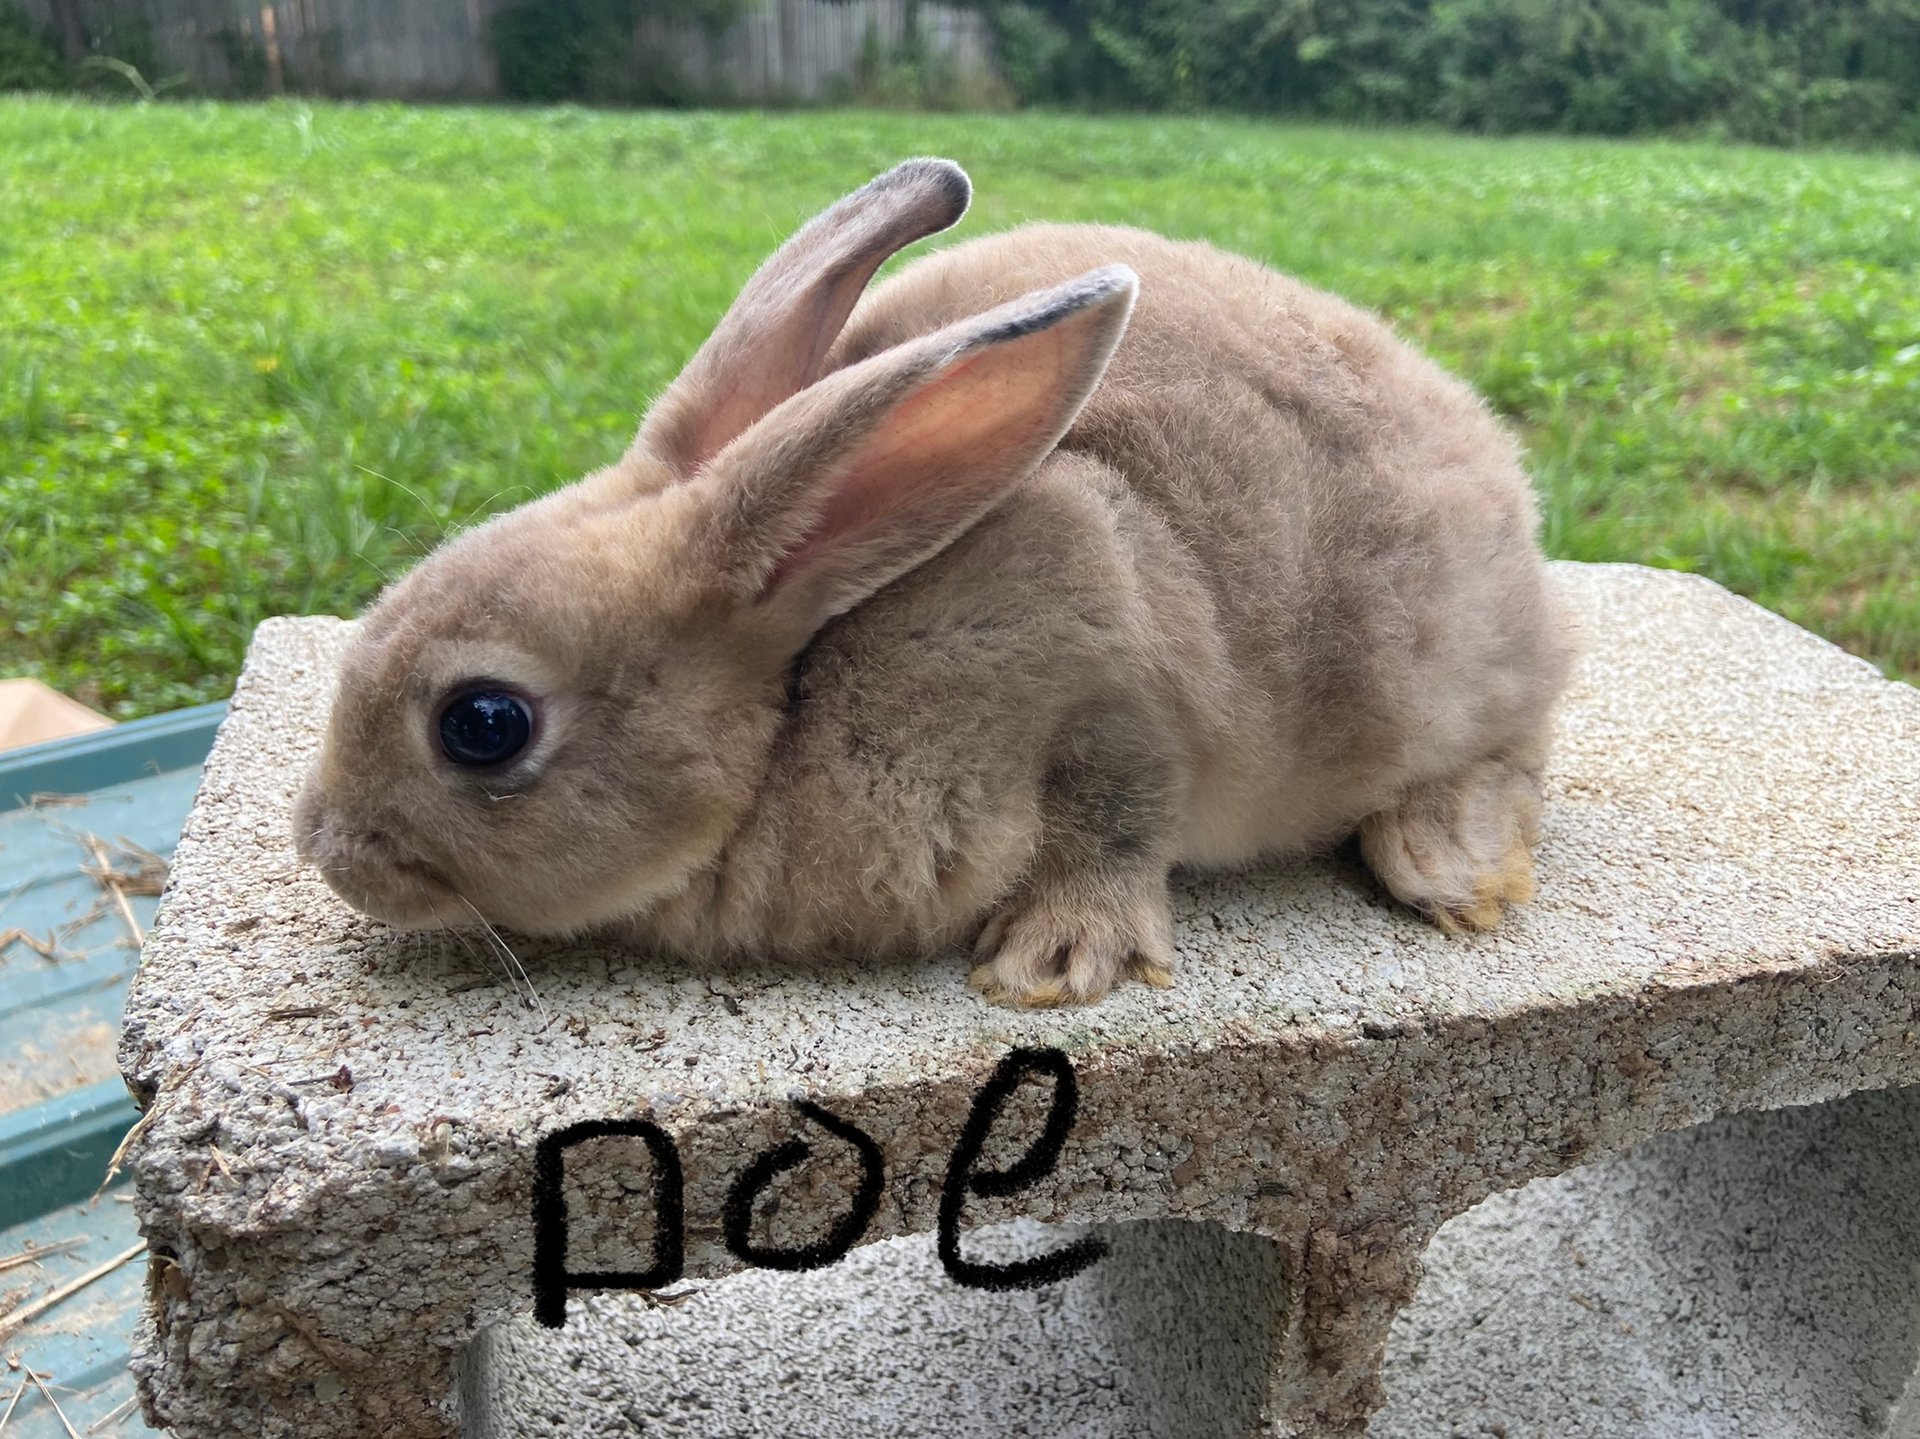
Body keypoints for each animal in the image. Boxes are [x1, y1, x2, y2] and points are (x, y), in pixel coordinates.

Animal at [294, 157, 1570, 1008]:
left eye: (483, 722)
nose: (325, 847)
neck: (791, 697)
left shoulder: (1098, 649)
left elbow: (1119, 813)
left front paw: (1050, 961)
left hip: (1446, 674)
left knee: (1507, 748)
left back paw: (1450, 867)